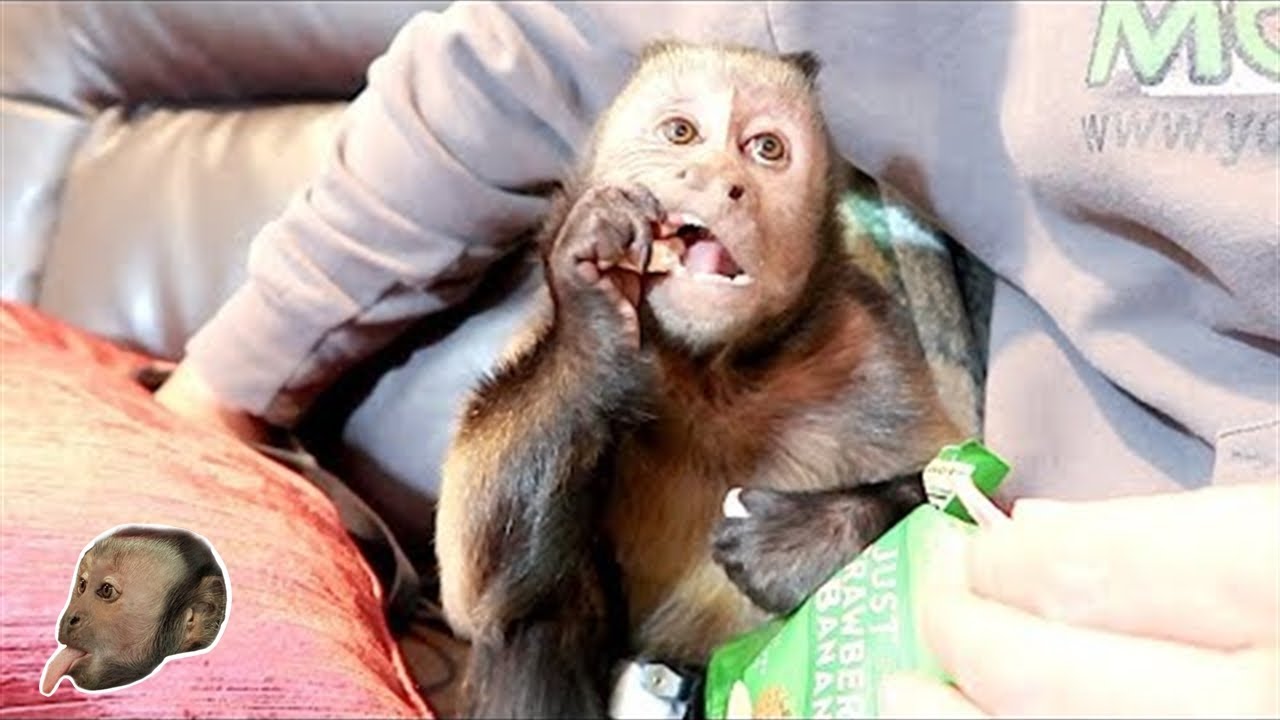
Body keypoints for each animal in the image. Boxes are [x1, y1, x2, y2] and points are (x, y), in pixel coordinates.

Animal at [433, 40, 962, 717]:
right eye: (681, 133)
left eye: (766, 149)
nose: (720, 182)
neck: (714, 377)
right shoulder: (533, 336)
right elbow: (477, 597)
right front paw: (592, 309)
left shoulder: (873, 352)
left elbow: (973, 500)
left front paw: (810, 538)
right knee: (534, 618)